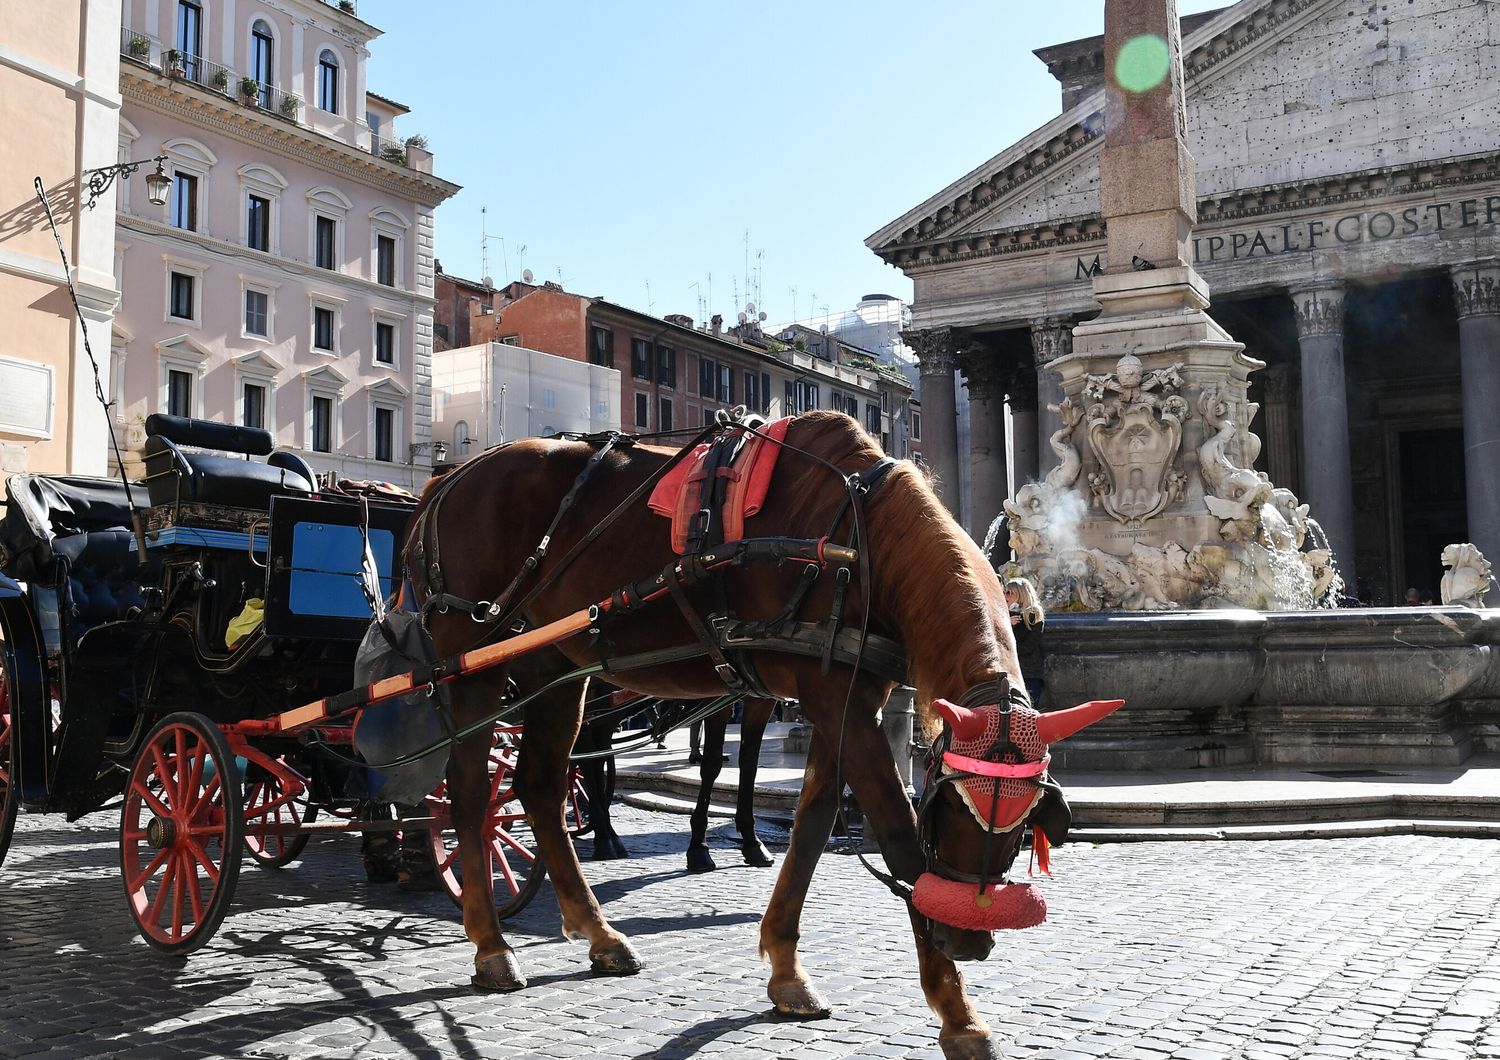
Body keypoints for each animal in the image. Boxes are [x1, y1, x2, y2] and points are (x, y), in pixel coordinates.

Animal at [405, 411, 1120, 1060]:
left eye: (1026, 826)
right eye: (947, 808)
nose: (970, 938)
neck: (856, 542)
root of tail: (448, 480)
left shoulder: (842, 698)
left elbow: (812, 825)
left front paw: (785, 969)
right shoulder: (839, 708)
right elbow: (895, 839)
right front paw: (957, 1014)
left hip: (555, 664)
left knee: (541, 786)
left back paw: (598, 933)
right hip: (472, 661)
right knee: (469, 789)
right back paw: (491, 945)